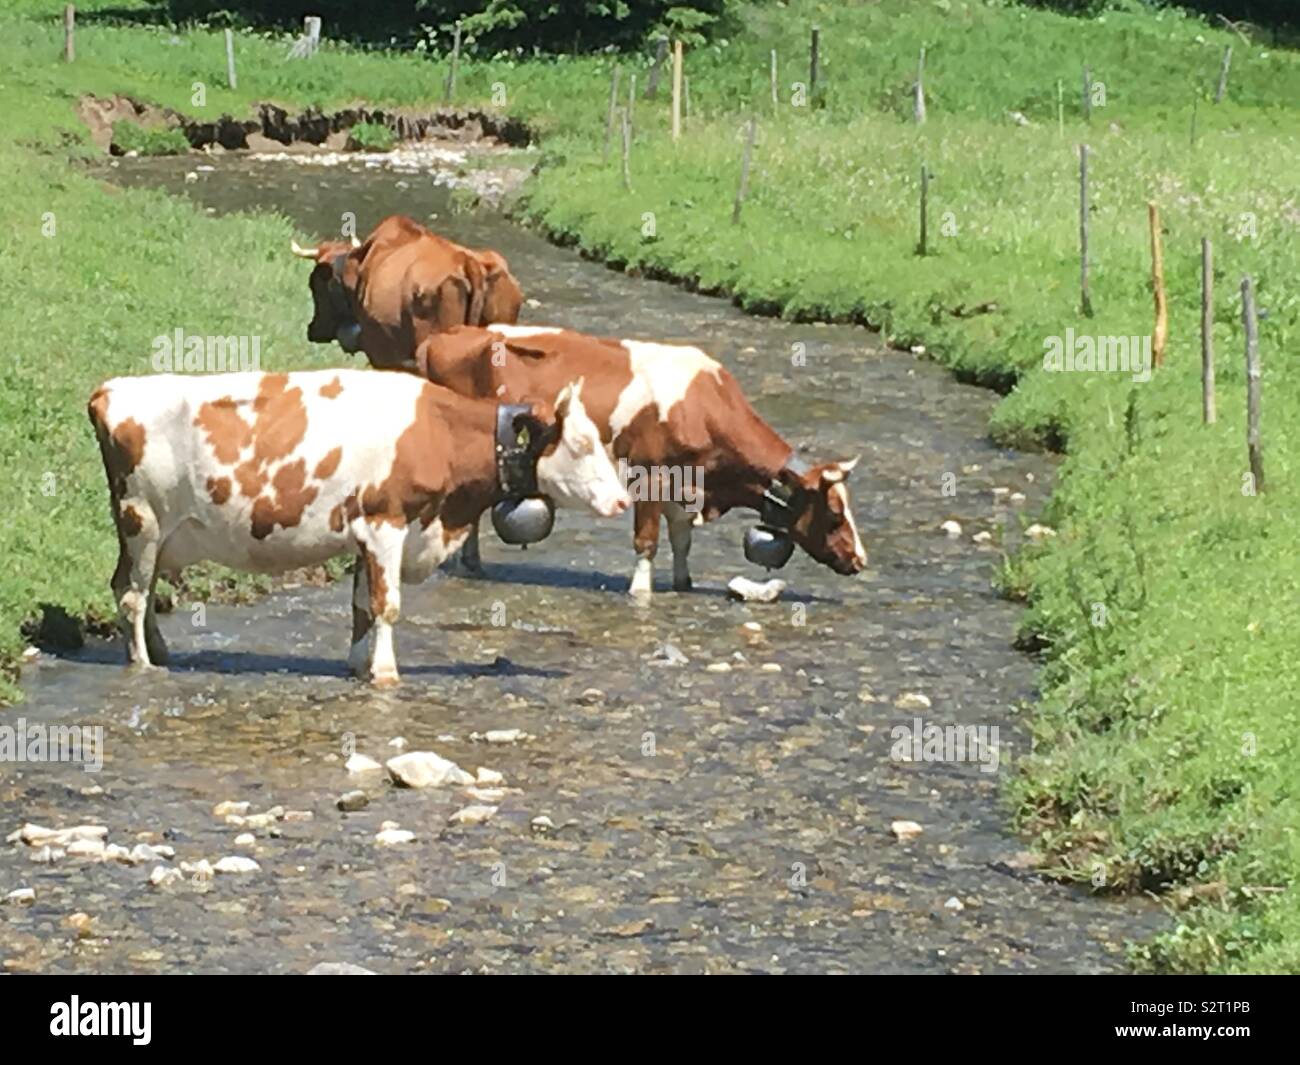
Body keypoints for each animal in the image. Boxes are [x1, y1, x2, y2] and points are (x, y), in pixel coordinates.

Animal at [87, 369, 629, 685]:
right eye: (581, 444)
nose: (623, 500)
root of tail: (108, 390)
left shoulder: (366, 536)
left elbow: (361, 607)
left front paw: (358, 664)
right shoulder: (385, 524)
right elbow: (387, 606)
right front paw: (386, 674)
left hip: (153, 534)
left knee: (131, 589)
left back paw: (160, 651)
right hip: (143, 521)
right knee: (133, 596)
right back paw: (143, 664)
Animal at [412, 324, 868, 595]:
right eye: (833, 515)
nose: (860, 560)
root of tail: (449, 334)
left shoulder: (686, 486)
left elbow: (681, 539)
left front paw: (683, 583)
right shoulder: (650, 476)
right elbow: (647, 542)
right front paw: (641, 593)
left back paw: (472, 563)